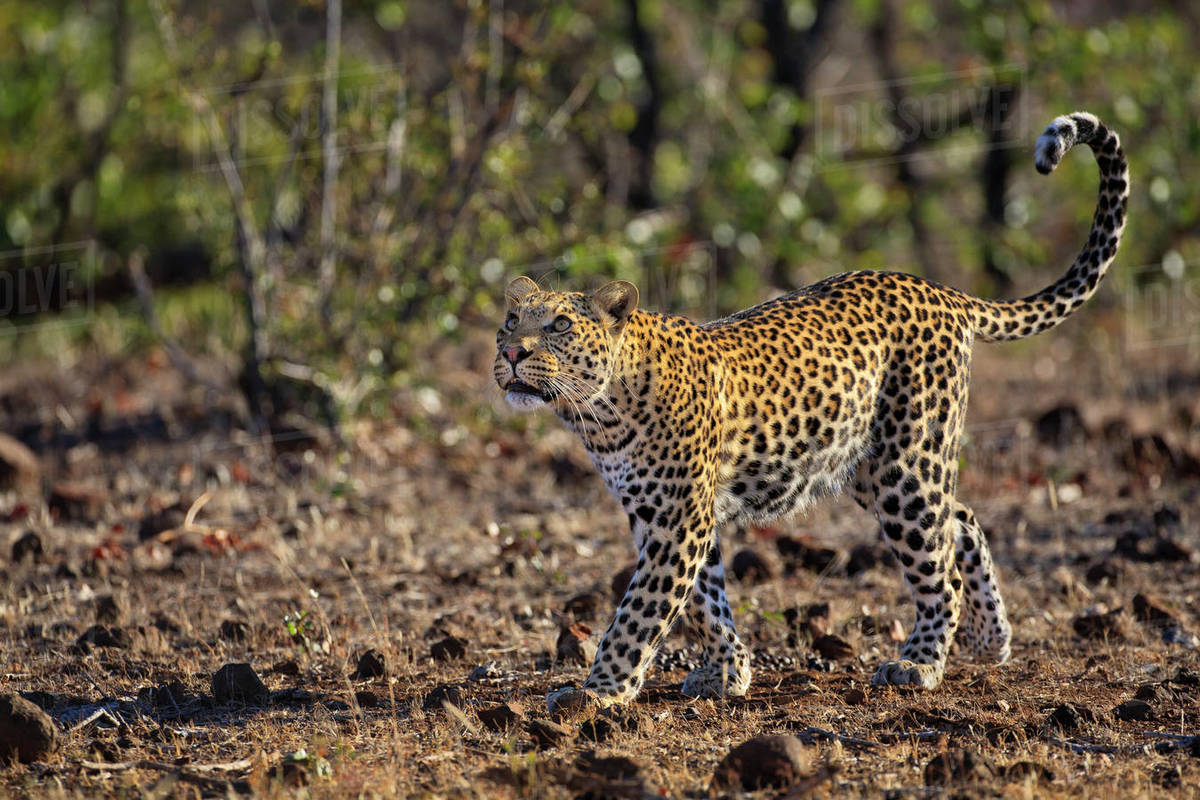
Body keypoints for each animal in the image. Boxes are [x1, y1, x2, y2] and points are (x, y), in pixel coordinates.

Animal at [492, 111, 1128, 712]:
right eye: (510, 321)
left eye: (559, 325)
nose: (511, 353)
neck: (600, 415)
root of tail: (941, 291)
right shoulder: (658, 513)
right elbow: (704, 599)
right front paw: (727, 671)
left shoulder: (678, 518)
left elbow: (641, 611)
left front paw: (599, 691)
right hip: (871, 462)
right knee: (963, 520)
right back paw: (990, 638)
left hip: (905, 466)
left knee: (939, 566)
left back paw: (921, 662)